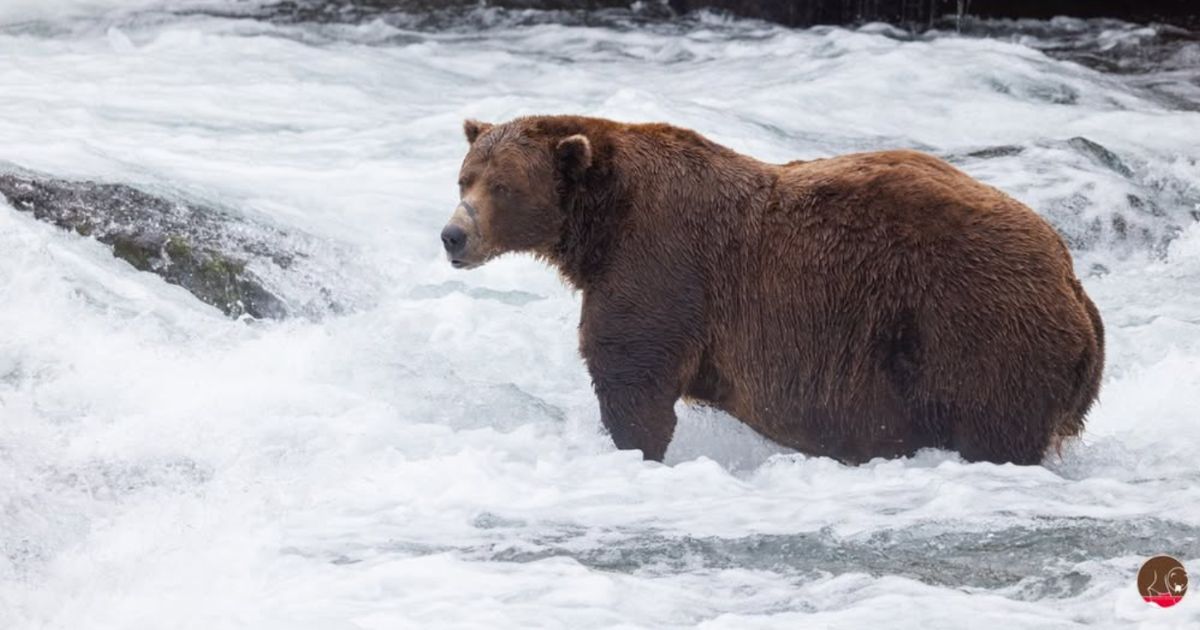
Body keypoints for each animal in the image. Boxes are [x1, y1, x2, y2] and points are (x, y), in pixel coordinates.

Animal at [440, 115, 1104, 465]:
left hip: (975, 332)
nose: (453, 235)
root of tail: (1073, 286)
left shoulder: (660, 263)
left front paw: (638, 447)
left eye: (503, 186)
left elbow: (633, 371)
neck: (598, 224)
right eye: (464, 177)